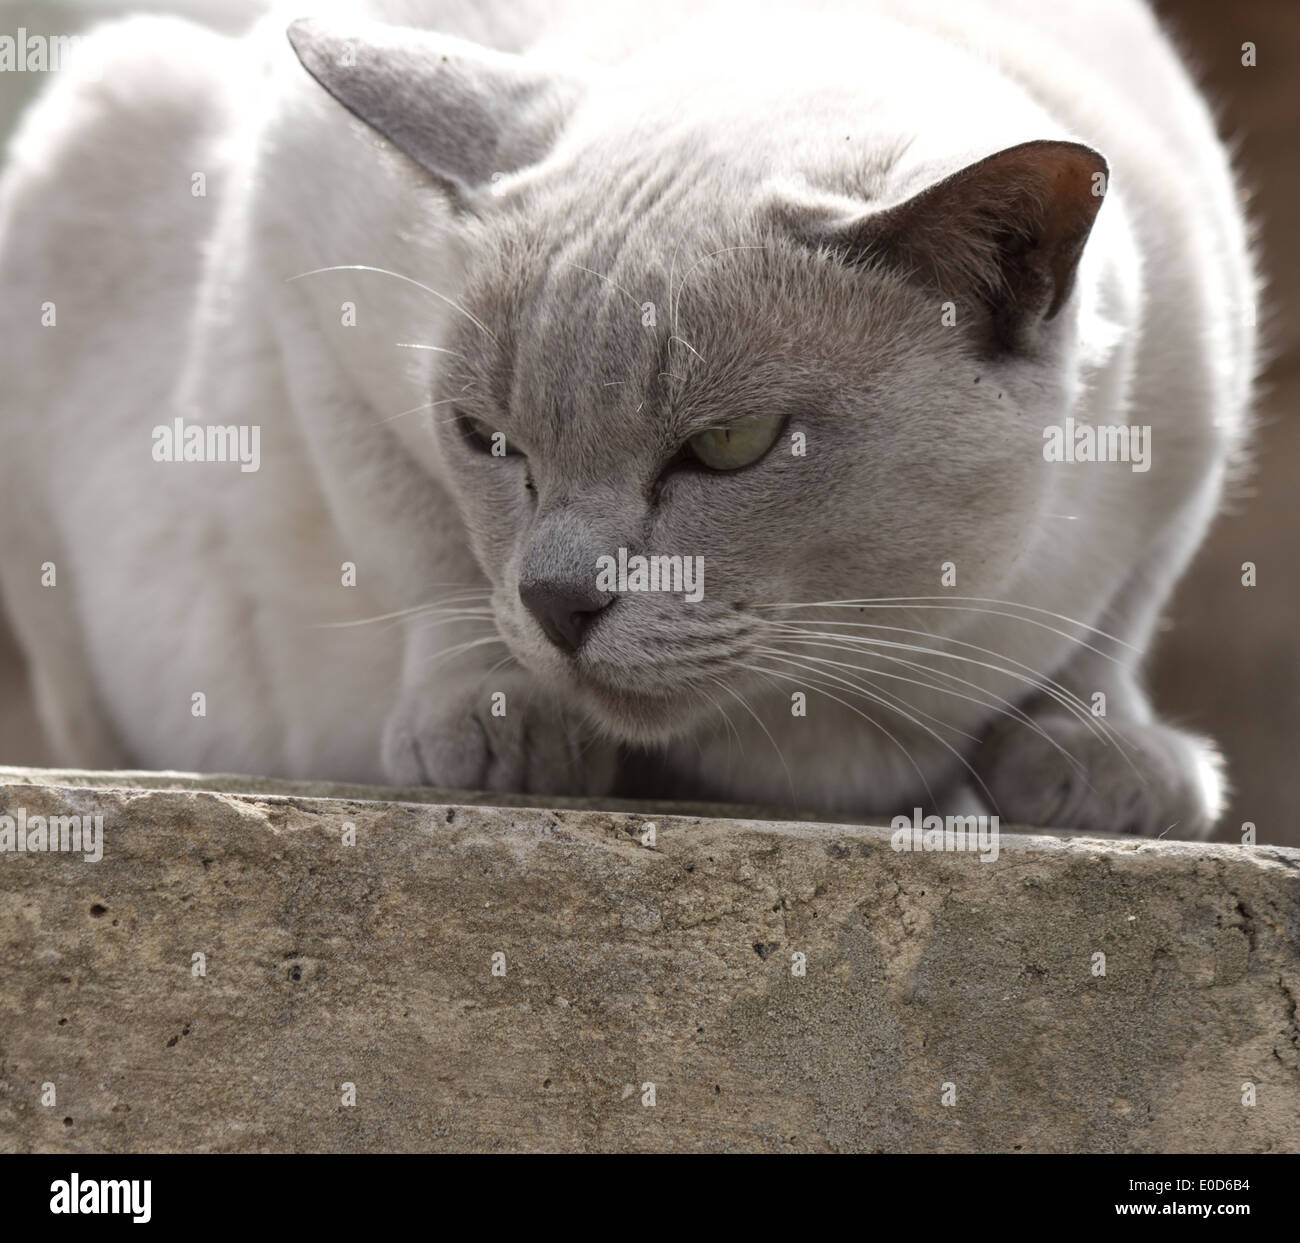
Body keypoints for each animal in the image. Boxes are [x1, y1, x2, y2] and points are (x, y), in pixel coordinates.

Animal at [2, 2, 1258, 837]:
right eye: (489, 440)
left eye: (729, 448)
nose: (558, 603)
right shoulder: (301, 253)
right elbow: (424, 553)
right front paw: (495, 732)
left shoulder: (1190, 437)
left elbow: (1112, 629)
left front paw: (1098, 767)